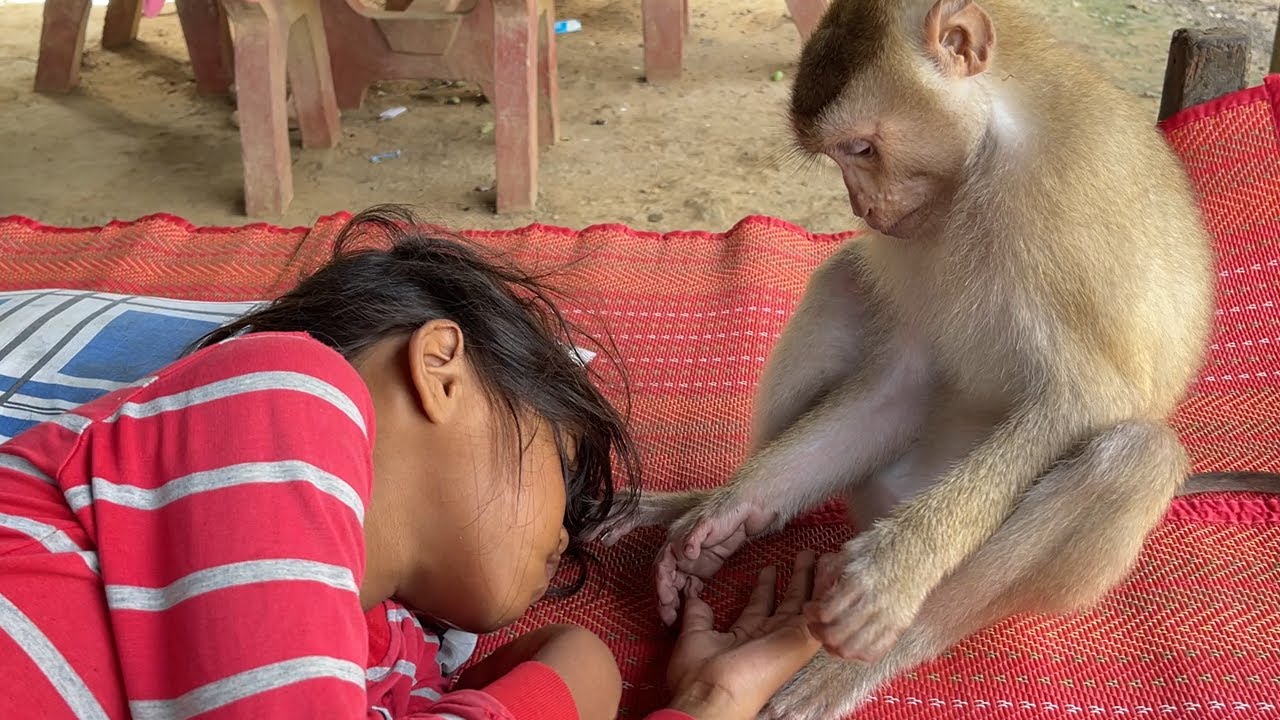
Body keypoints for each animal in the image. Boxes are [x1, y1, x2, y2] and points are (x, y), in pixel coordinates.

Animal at [592, 1, 1280, 718]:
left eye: (862, 149)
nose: (861, 206)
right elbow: (904, 382)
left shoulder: (1053, 202)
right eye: (842, 155)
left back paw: (858, 663)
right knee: (844, 276)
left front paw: (893, 574)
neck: (982, 152)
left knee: (1134, 454)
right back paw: (710, 514)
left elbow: (1086, 400)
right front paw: (725, 514)